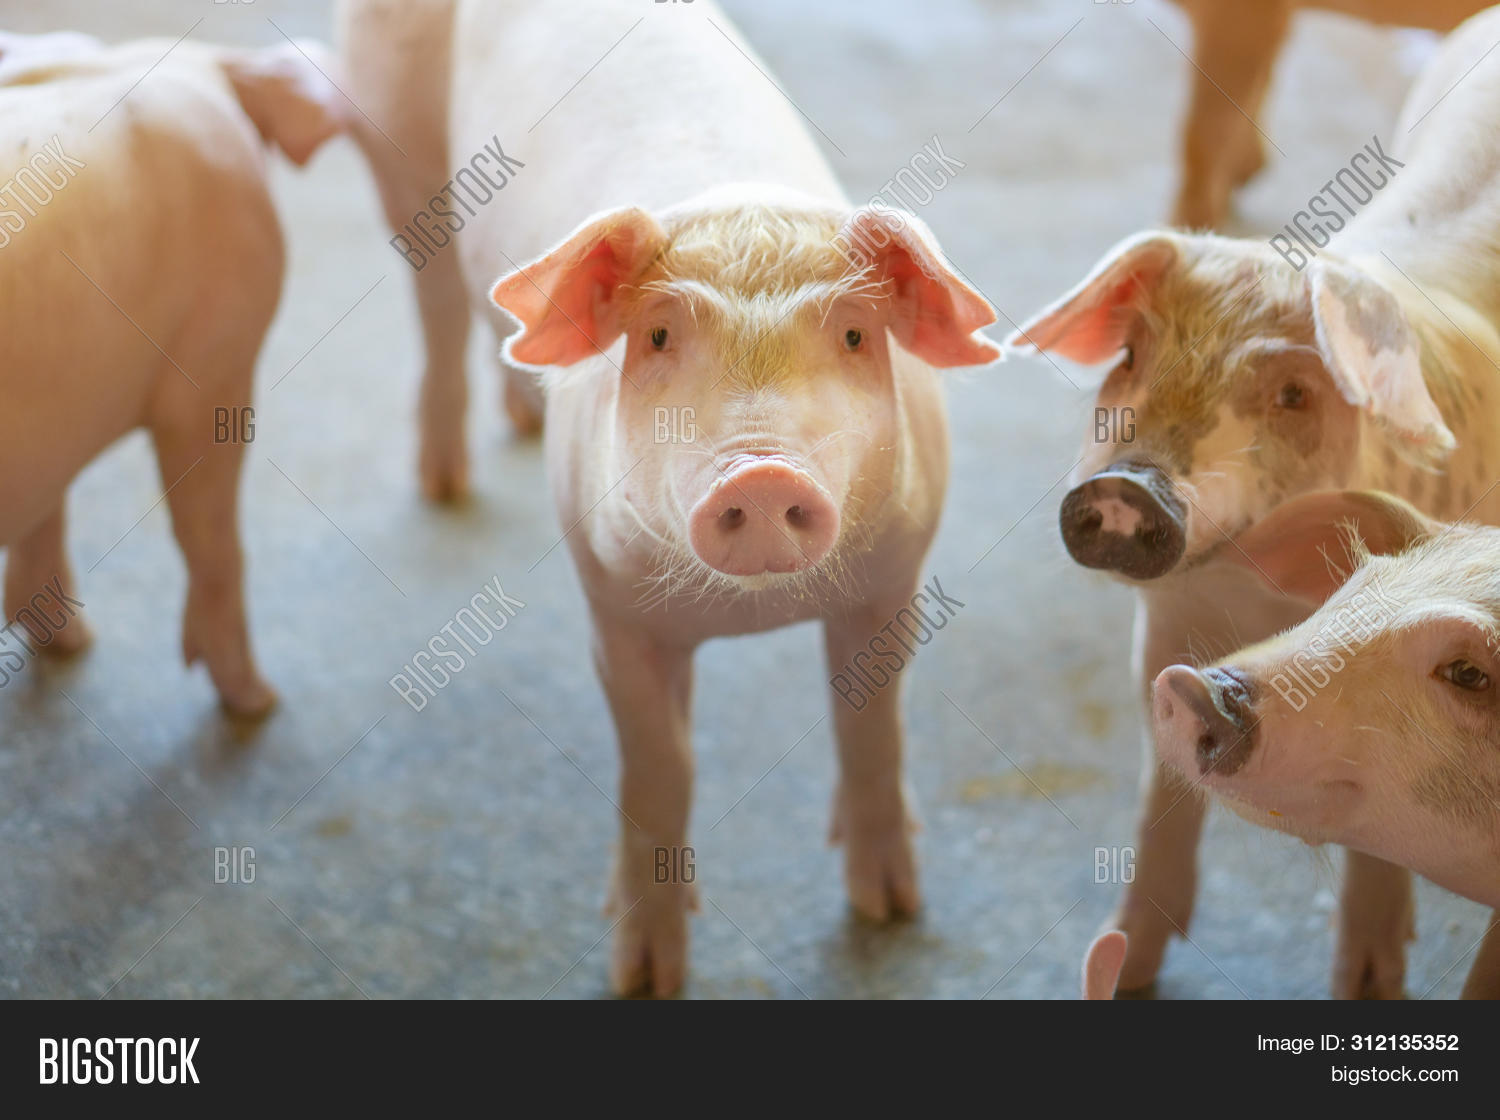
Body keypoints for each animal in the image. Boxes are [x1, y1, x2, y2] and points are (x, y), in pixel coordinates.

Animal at [0, 32, 346, 715]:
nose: (263, 700)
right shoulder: (215, 369)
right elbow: (213, 540)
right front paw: (260, 702)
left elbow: (48, 509)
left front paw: (73, 643)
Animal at [339, 0, 999, 994]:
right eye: (656, 336)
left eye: (854, 334)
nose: (760, 474)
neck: (751, 613)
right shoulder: (610, 603)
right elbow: (662, 766)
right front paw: (645, 976)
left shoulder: (895, 575)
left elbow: (870, 727)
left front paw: (892, 911)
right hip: (395, 147)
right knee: (441, 303)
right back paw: (442, 480)